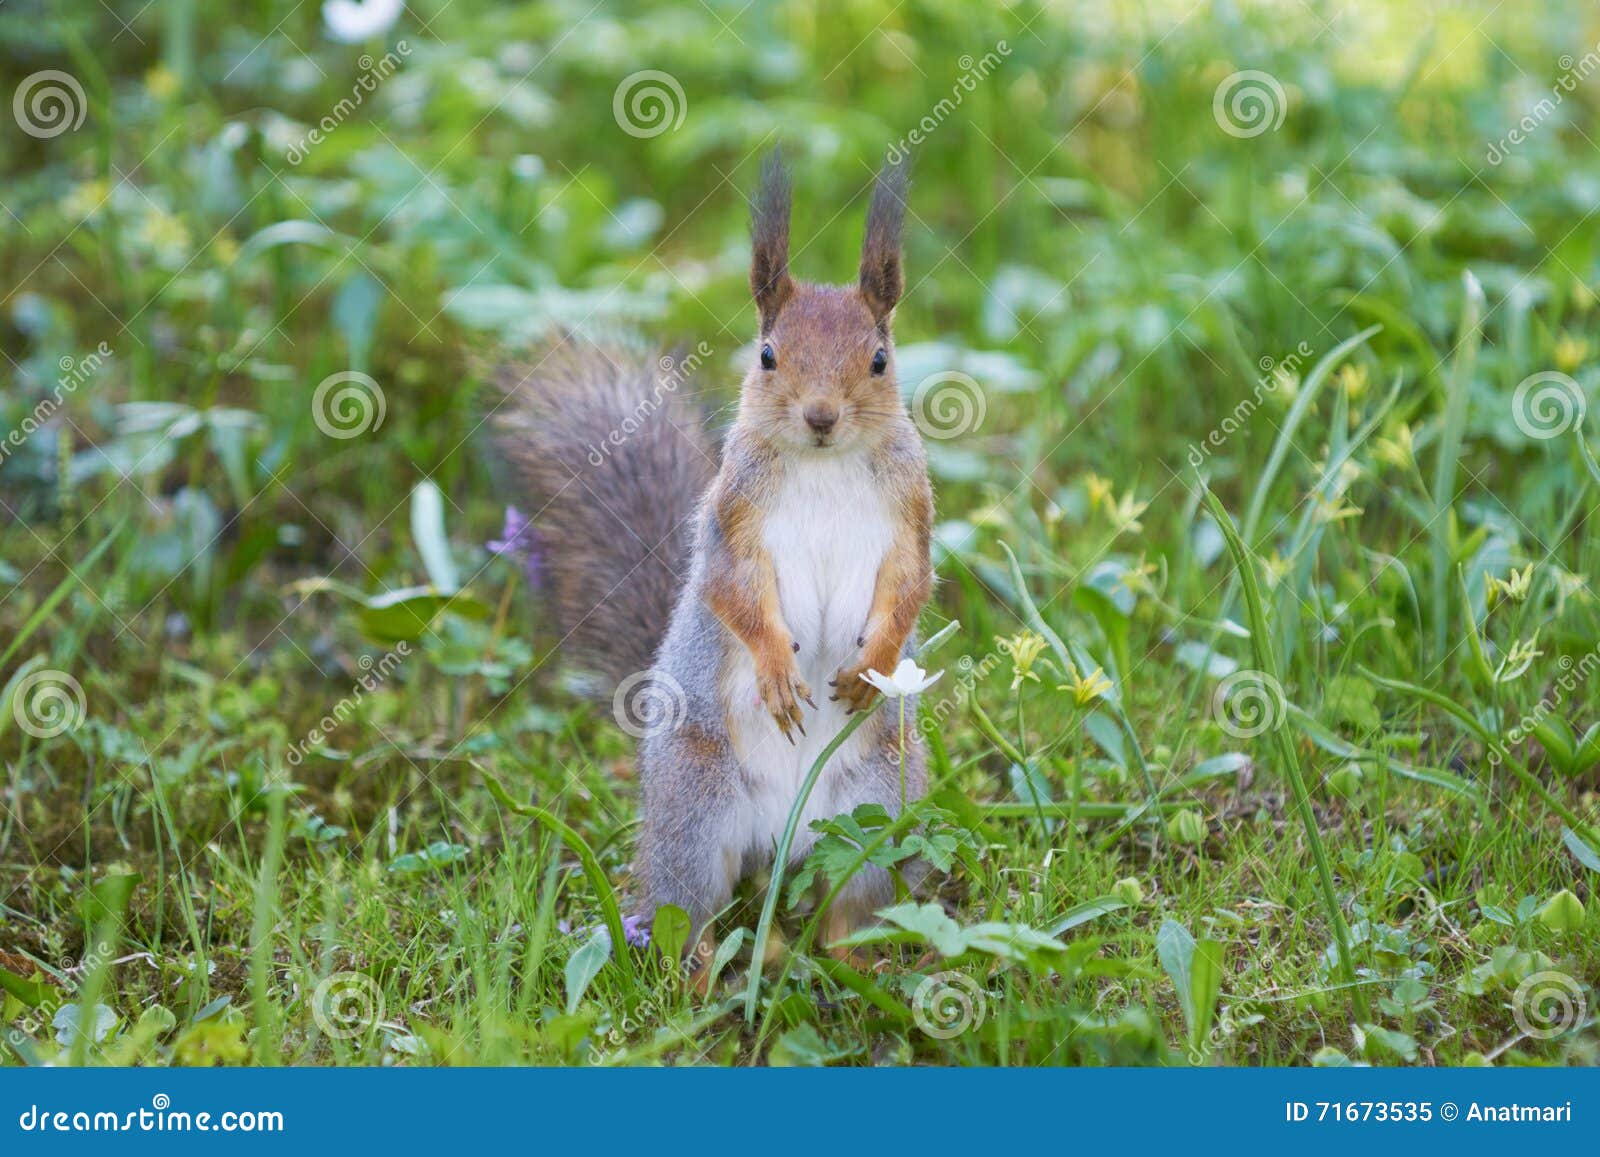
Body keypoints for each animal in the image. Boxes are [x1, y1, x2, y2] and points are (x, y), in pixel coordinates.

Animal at [491, 152, 934, 956]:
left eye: (881, 360)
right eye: (767, 355)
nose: (821, 416)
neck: (824, 463)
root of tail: (784, 840)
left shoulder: (912, 516)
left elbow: (911, 584)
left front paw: (872, 664)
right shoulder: (733, 519)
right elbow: (733, 592)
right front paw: (776, 668)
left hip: (877, 809)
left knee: (849, 906)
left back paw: (856, 956)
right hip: (695, 811)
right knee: (684, 913)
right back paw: (702, 961)